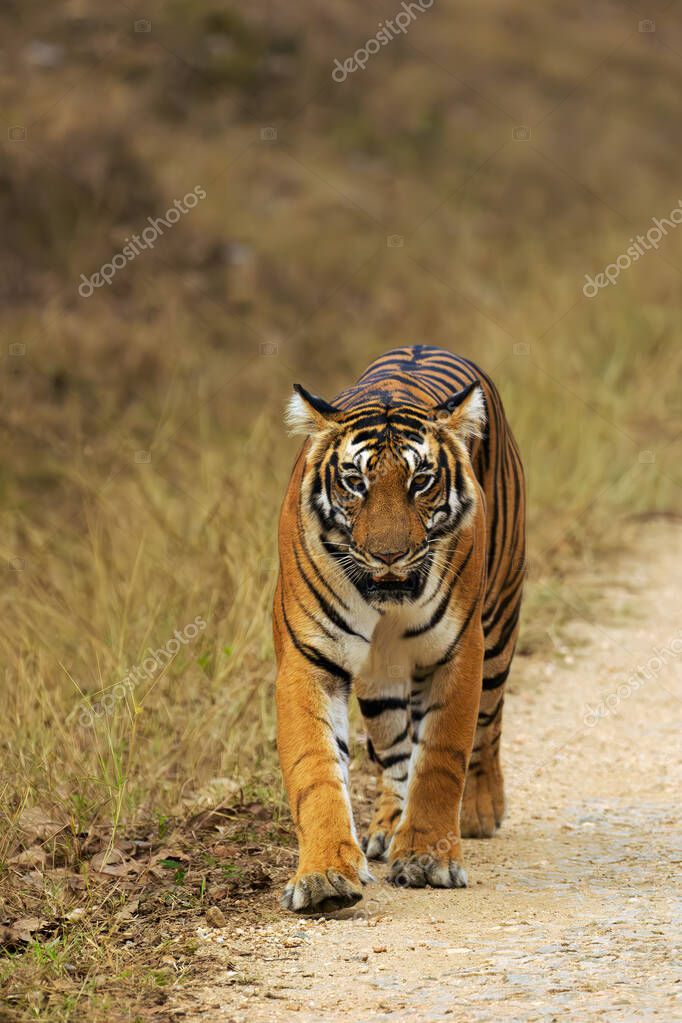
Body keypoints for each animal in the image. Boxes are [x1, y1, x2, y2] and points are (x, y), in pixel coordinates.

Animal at [273, 345, 525, 913]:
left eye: (421, 481)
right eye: (355, 482)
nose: (388, 555)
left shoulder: (458, 651)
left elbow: (442, 758)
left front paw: (429, 859)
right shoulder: (309, 658)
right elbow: (316, 768)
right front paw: (324, 876)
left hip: (499, 623)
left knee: (489, 725)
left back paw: (479, 810)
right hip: (379, 677)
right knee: (394, 751)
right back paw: (388, 826)